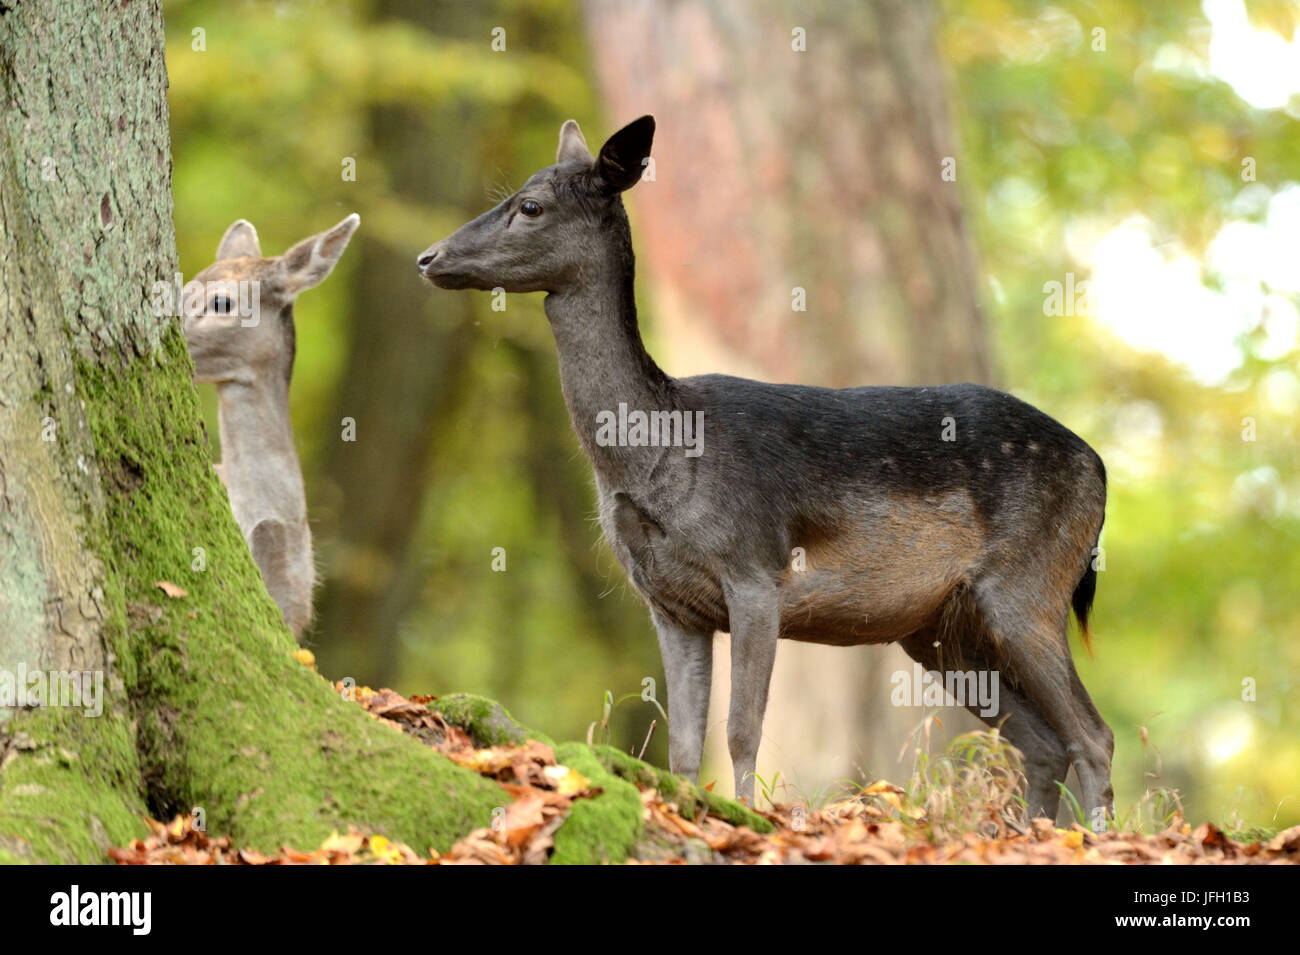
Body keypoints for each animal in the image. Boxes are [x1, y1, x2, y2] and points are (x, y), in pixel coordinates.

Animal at [417, 117, 1113, 822]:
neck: (656, 457)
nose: (428, 257)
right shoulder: (668, 603)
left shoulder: (755, 570)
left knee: (1093, 735)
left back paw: (1093, 834)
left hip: (1030, 581)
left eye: (531, 206)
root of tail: (1100, 470)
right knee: (1043, 743)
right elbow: (683, 743)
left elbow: (741, 729)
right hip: (939, 628)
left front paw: (752, 818)